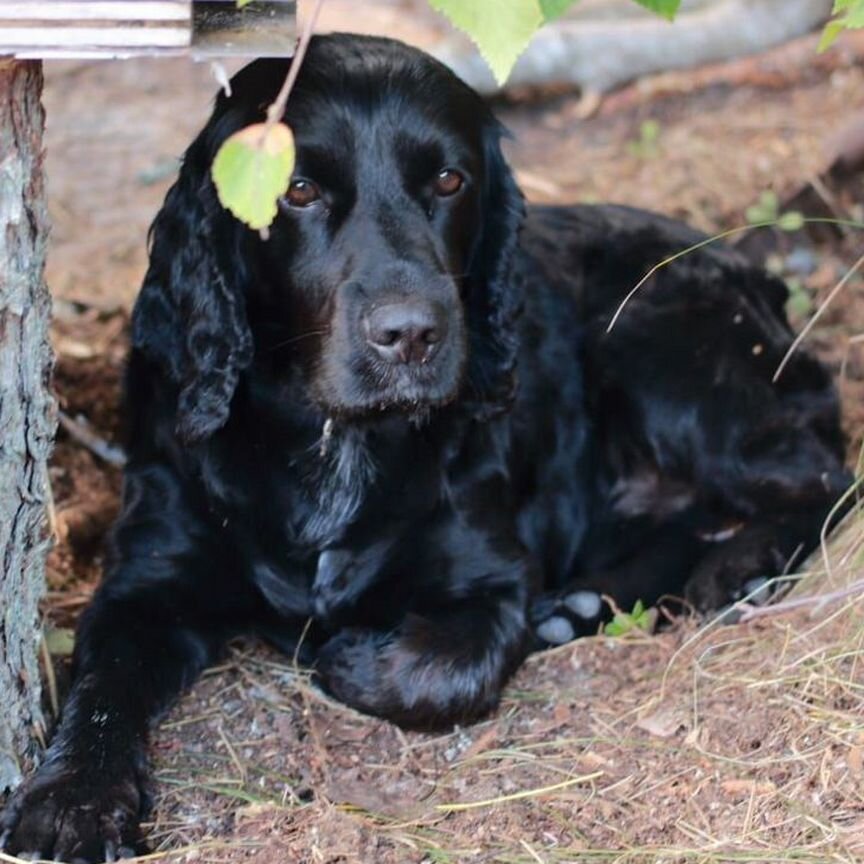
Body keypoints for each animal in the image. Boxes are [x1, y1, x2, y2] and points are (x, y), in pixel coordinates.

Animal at [0, 32, 848, 856]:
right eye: (297, 190)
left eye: (448, 180)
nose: (410, 334)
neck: (335, 442)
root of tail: (751, 269)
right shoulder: (147, 574)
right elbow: (102, 687)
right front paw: (71, 802)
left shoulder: (491, 571)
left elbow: (440, 670)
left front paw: (350, 655)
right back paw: (578, 607)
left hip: (659, 353)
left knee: (824, 478)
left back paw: (739, 566)